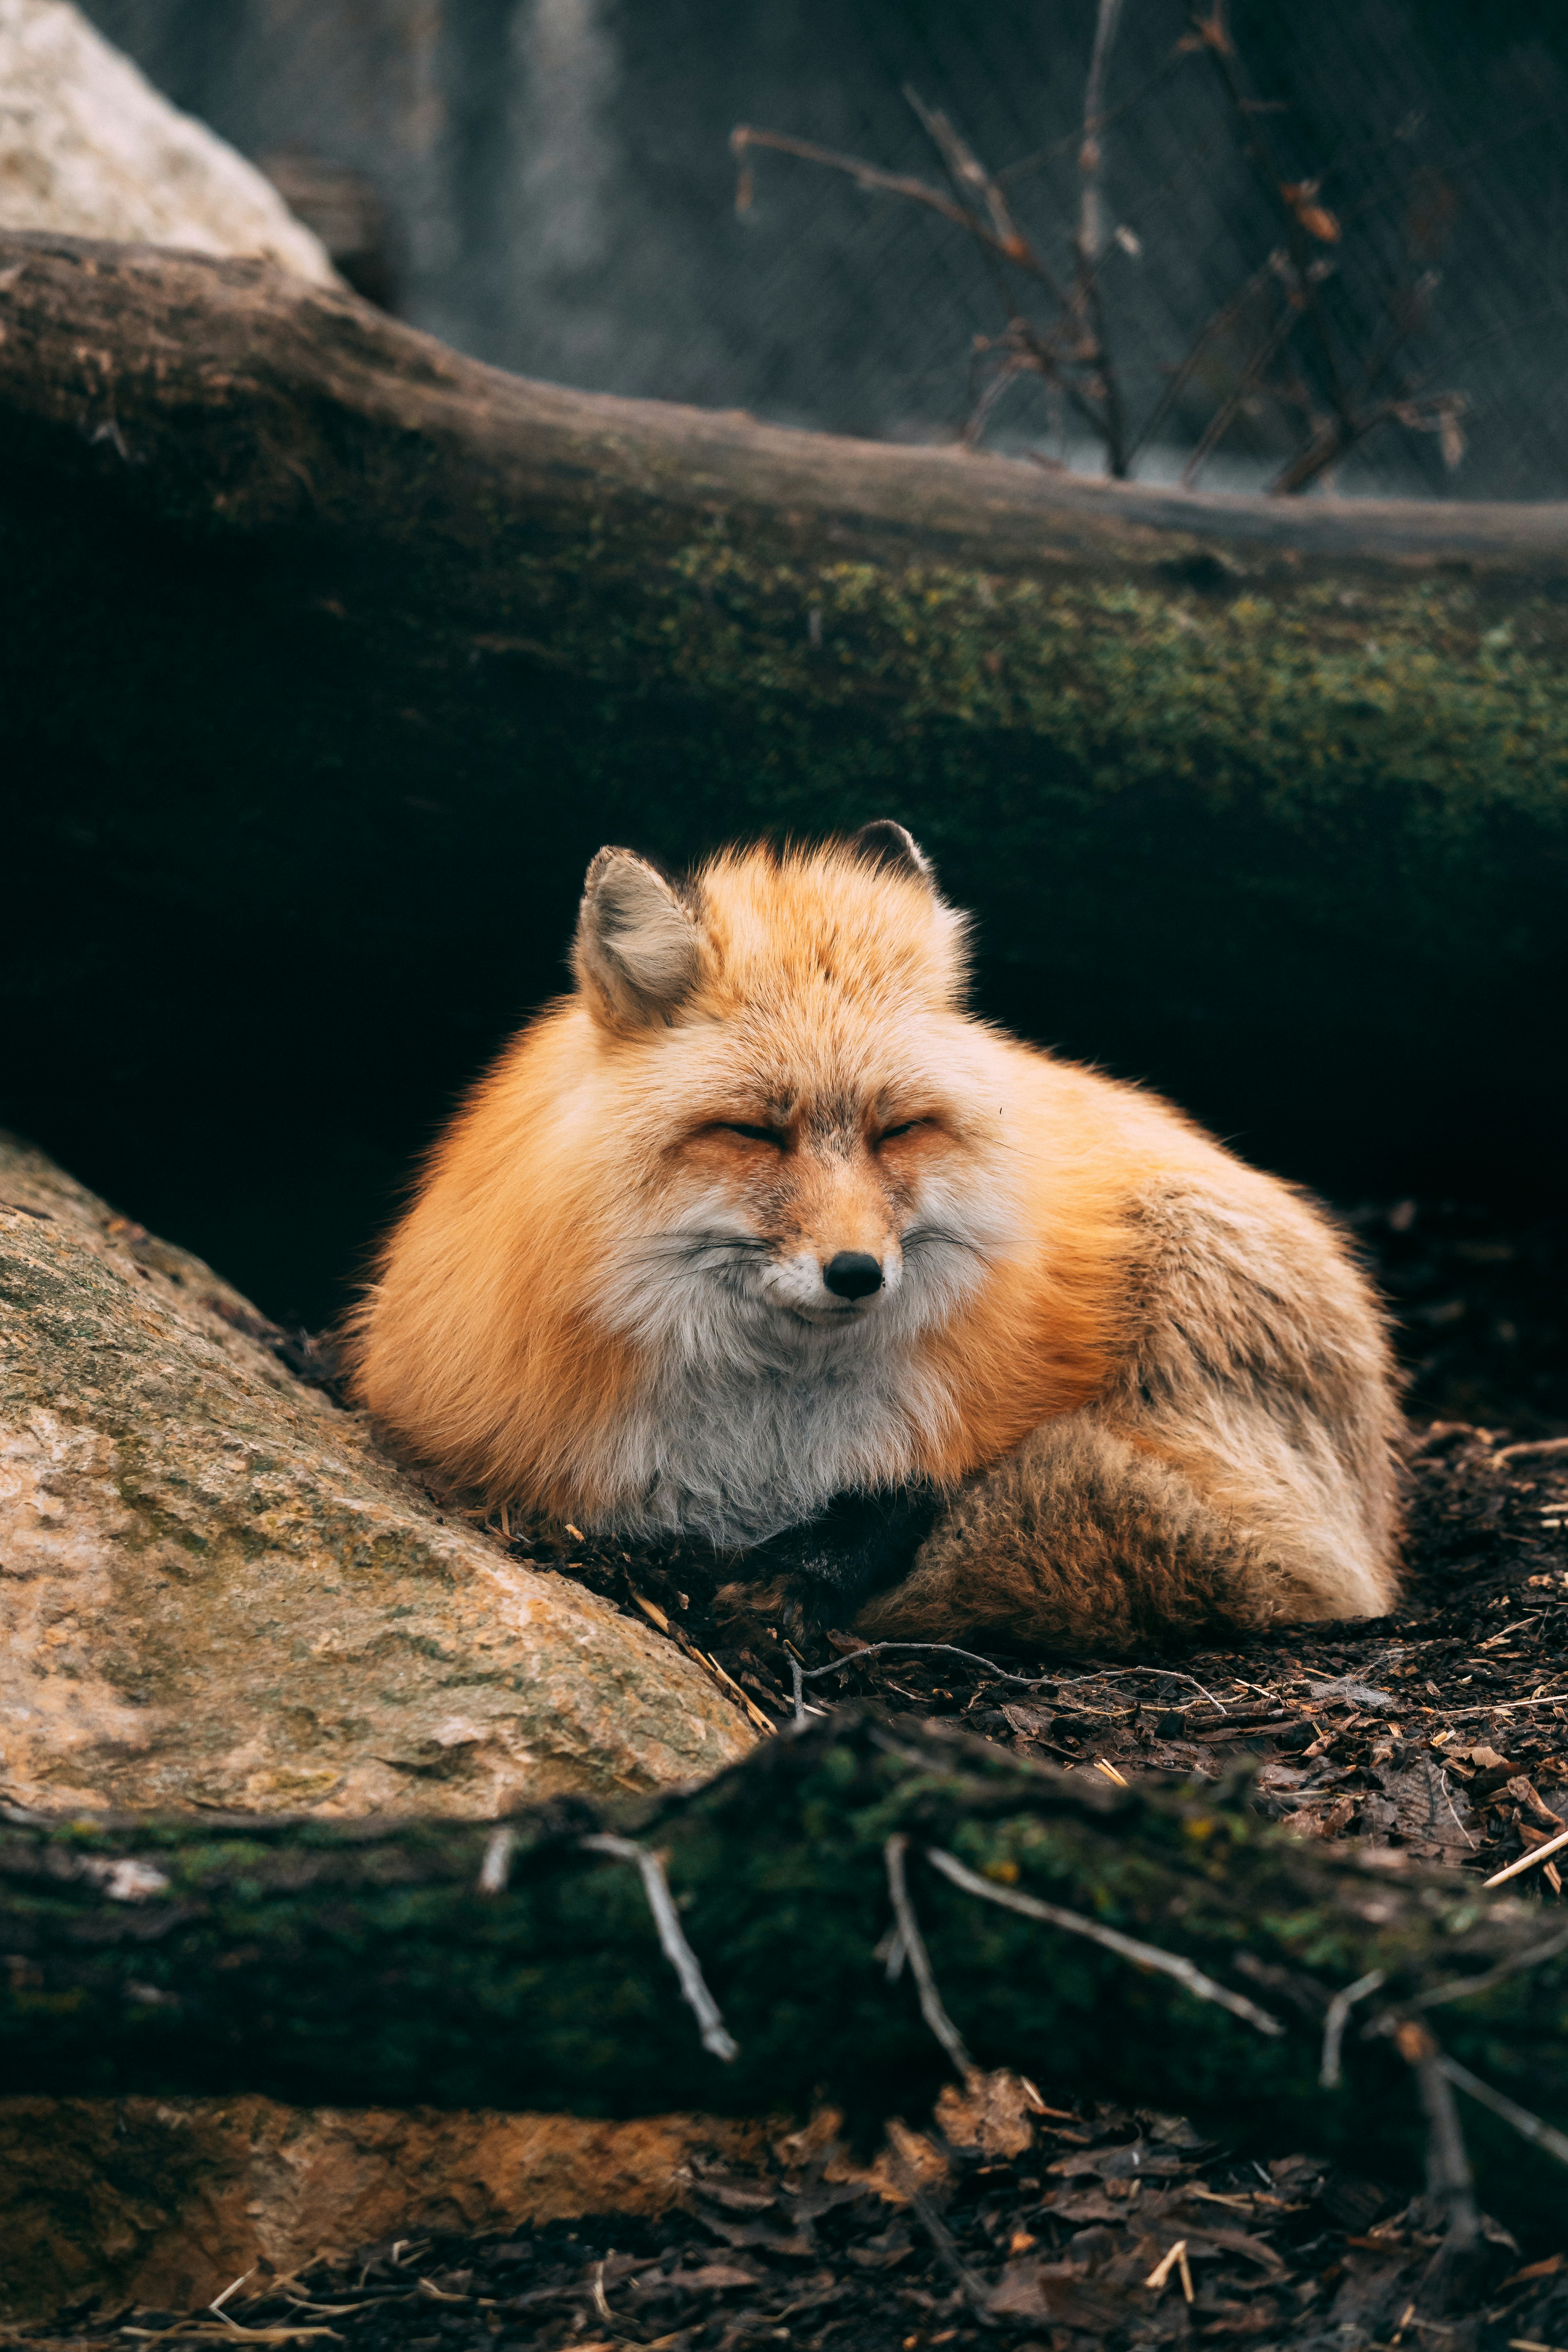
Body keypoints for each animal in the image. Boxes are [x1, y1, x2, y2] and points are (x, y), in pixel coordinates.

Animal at [346, 823, 1402, 1653]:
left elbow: (900, 1504)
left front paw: (797, 1581)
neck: (763, 1442)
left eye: (896, 1130)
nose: (856, 1274)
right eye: (752, 1132)